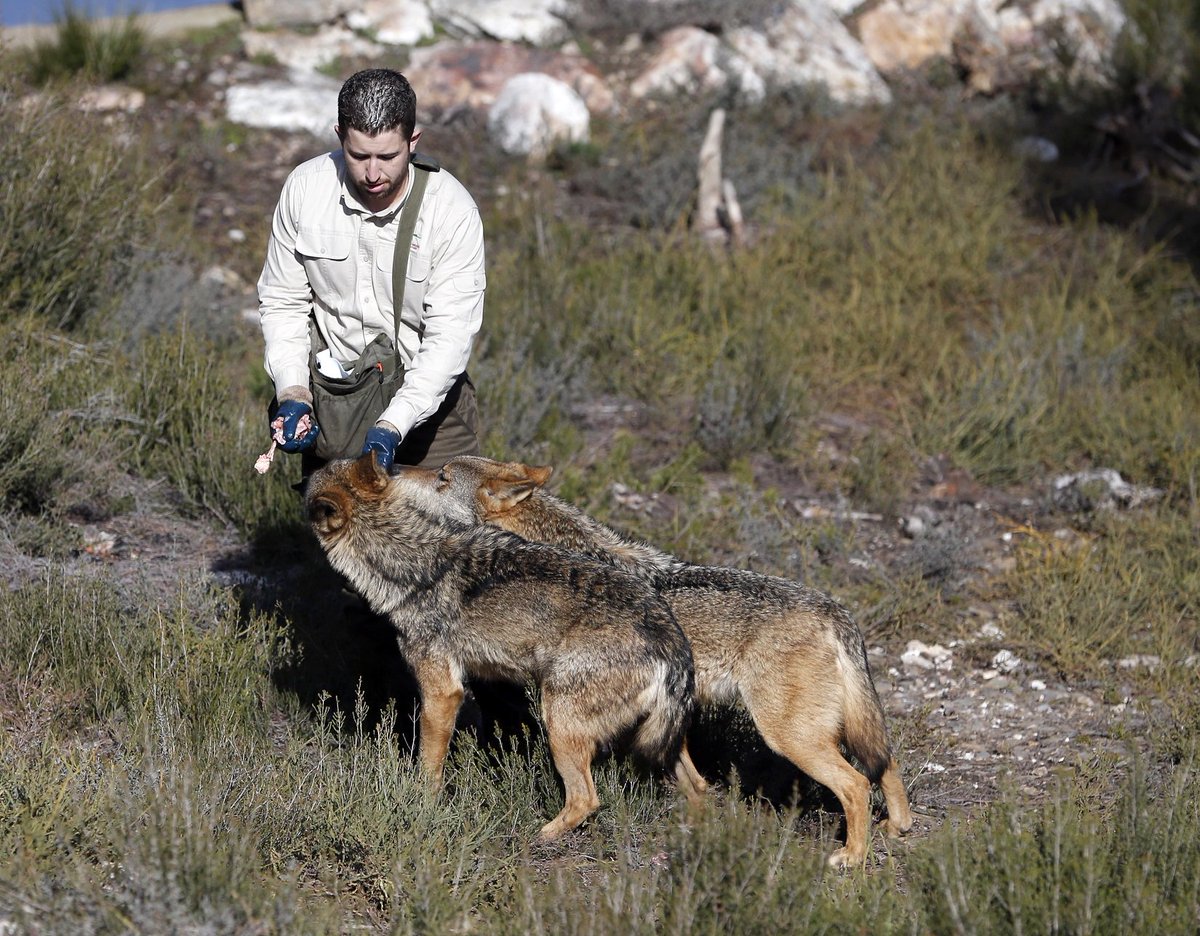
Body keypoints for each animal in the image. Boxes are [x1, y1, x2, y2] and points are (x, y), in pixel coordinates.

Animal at [305, 452, 701, 842]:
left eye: (443, 476)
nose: (395, 466)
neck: (406, 554)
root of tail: (672, 641)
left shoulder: (442, 692)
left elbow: (428, 765)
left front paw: (421, 806)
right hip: (659, 741)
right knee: (698, 786)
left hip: (557, 721)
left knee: (586, 799)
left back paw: (534, 837)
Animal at [427, 455, 914, 867]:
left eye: (442, 476)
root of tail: (835, 611)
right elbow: (690, 777)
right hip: (842, 727)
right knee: (886, 762)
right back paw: (897, 826)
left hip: (789, 736)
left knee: (856, 783)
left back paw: (851, 858)